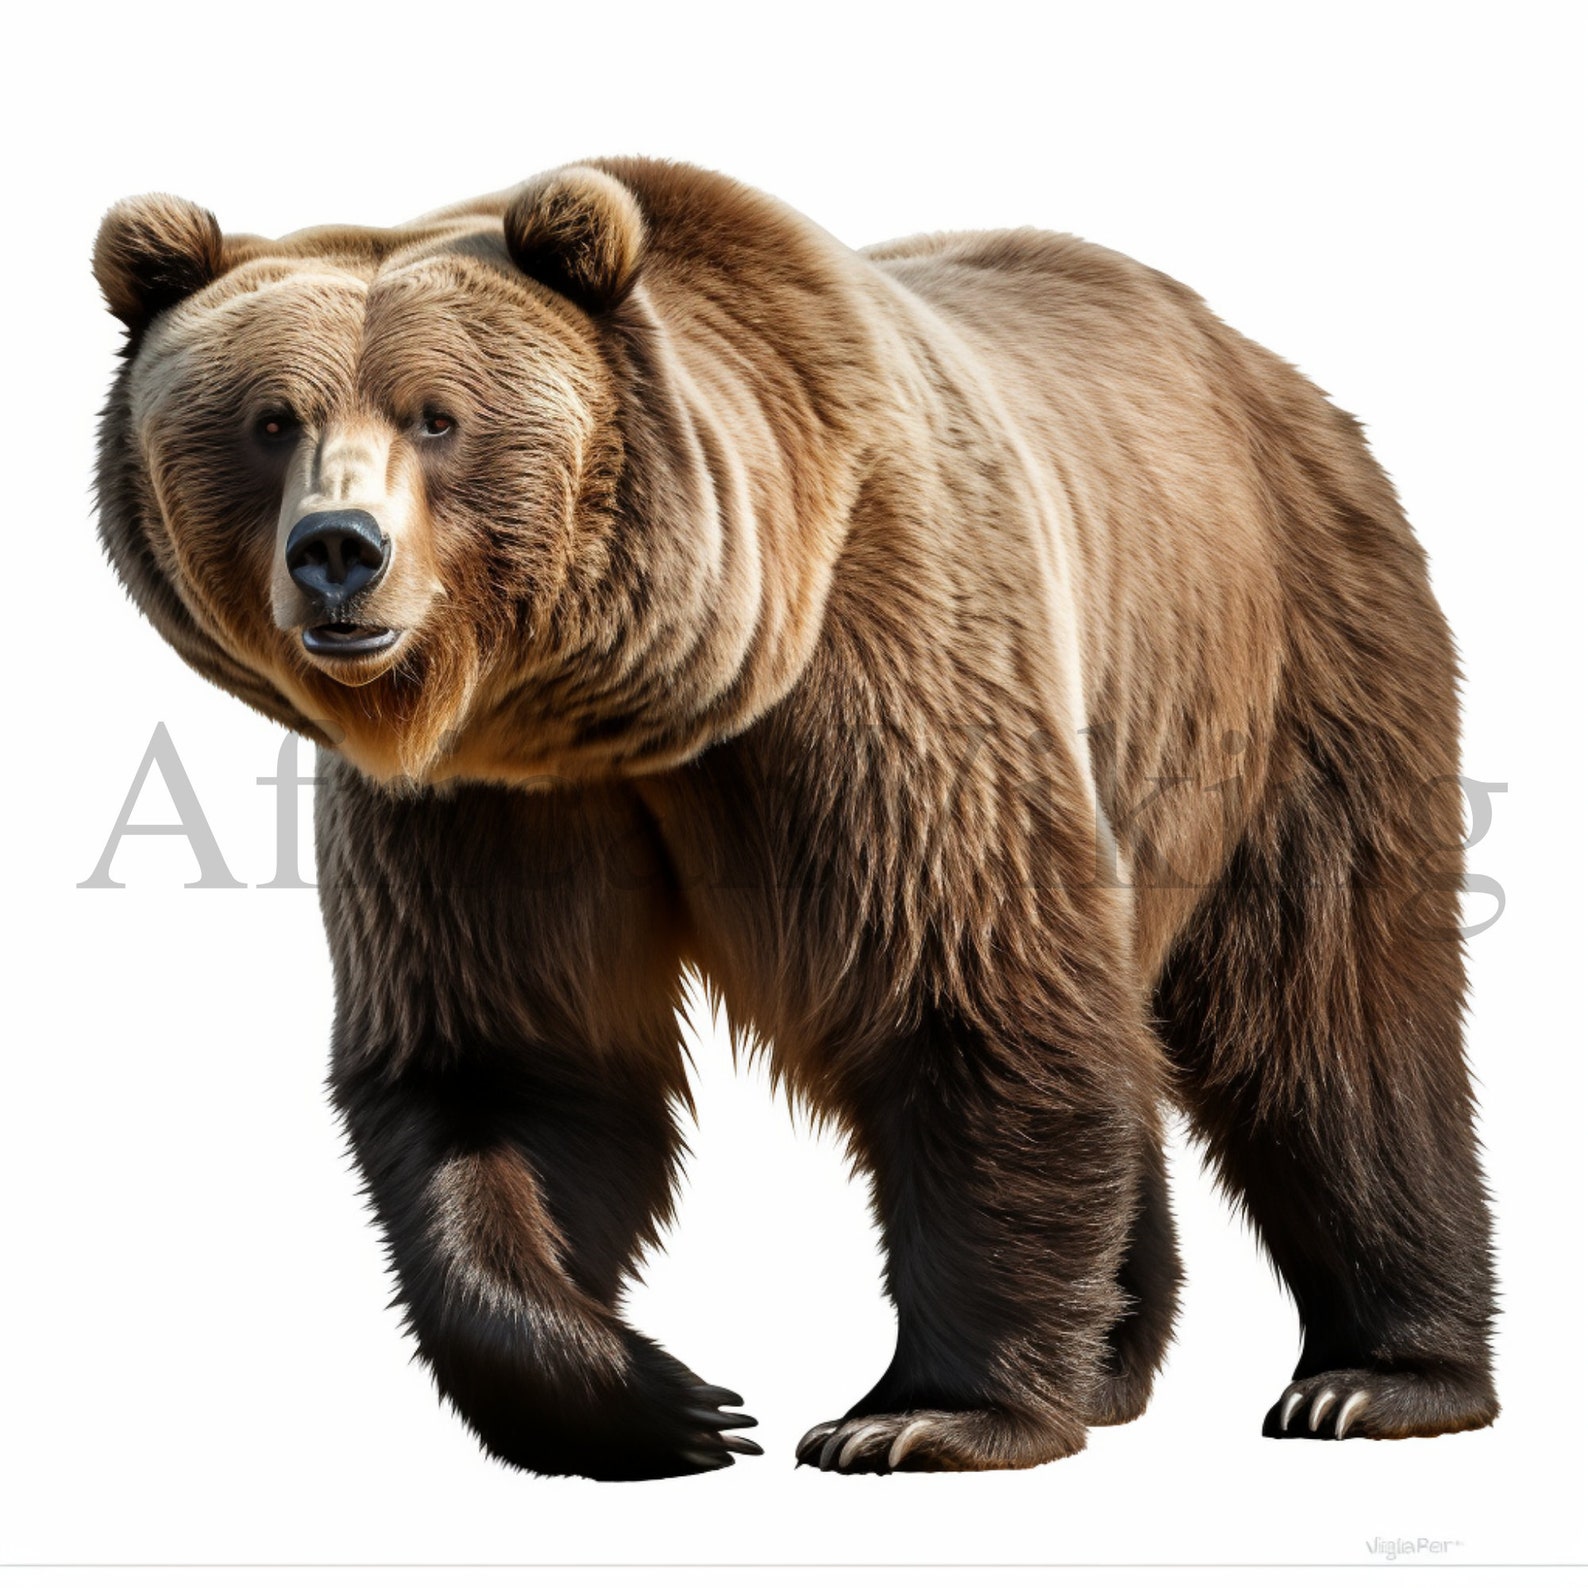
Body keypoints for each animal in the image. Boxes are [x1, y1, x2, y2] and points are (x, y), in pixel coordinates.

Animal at [92, 158, 1498, 1479]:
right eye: (270, 419)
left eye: (438, 416)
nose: (340, 550)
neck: (630, 702)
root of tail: (1266, 367)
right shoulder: (487, 802)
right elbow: (508, 1062)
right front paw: (659, 1400)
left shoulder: (880, 661)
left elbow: (965, 990)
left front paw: (922, 1413)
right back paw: (1109, 1358)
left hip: (1283, 655)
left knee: (1330, 1010)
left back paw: (1375, 1378)